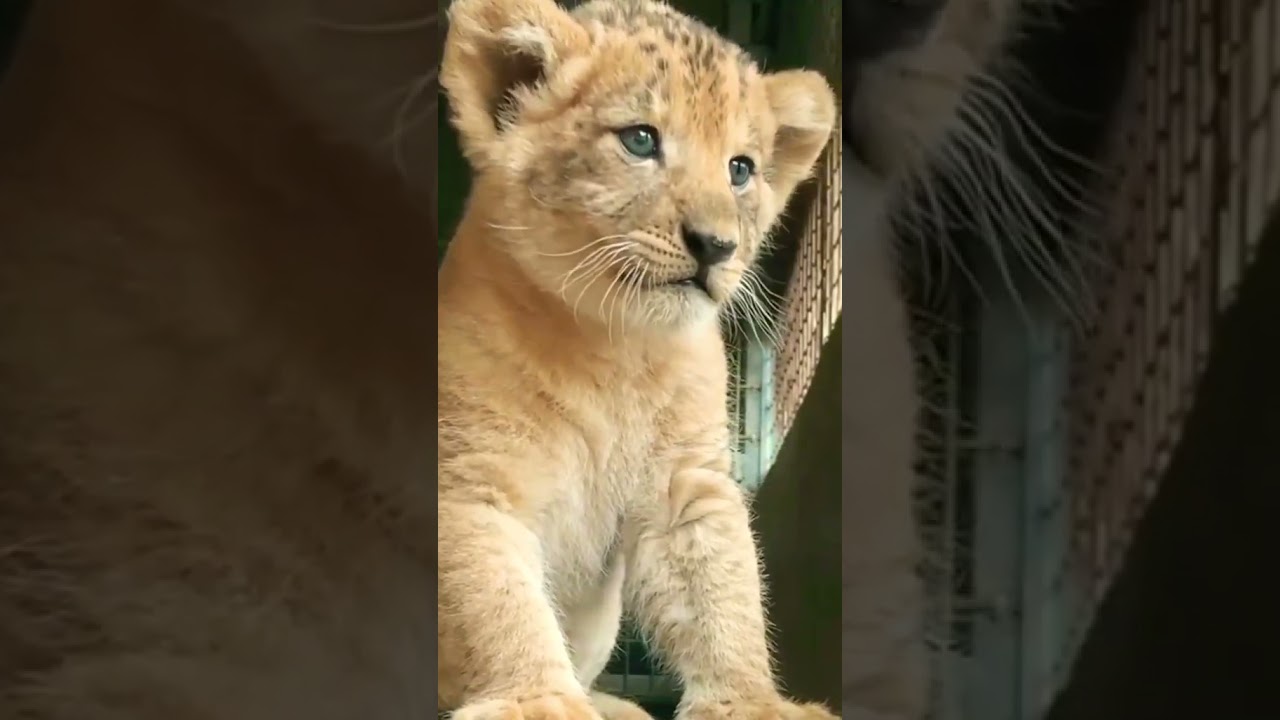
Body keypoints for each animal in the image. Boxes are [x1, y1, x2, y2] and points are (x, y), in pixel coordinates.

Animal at [436, 1, 837, 720]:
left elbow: (722, 592)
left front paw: (752, 701)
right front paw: (538, 701)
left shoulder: (688, 479)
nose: (716, 245)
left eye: (740, 168)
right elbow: (497, 602)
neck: (613, 346)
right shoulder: (471, 479)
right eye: (642, 140)